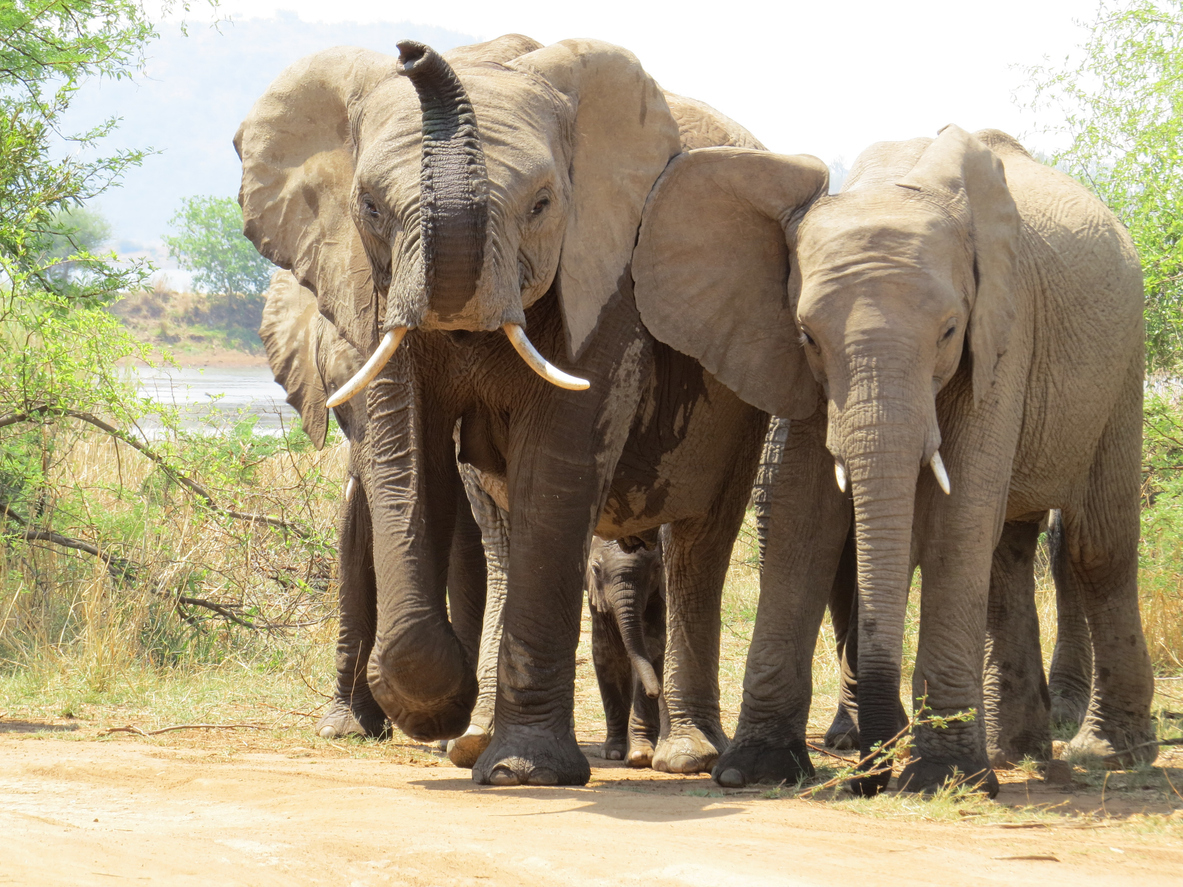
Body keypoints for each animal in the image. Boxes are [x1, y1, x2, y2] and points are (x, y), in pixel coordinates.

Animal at [236, 33, 831, 786]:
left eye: (543, 204)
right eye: (368, 205)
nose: (411, 50)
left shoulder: (606, 276)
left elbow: (553, 464)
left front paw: (523, 771)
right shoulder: (373, 286)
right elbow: (411, 457)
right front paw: (444, 716)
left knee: (698, 543)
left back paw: (687, 756)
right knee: (501, 531)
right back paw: (473, 742)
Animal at [630, 125, 1156, 796]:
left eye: (949, 331)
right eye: (807, 336)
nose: (869, 775)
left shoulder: (1002, 335)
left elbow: (957, 518)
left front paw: (940, 778)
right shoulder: (794, 366)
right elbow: (803, 514)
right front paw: (752, 770)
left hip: (1123, 362)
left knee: (1096, 548)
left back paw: (1108, 753)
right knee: (1006, 555)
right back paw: (1016, 753)